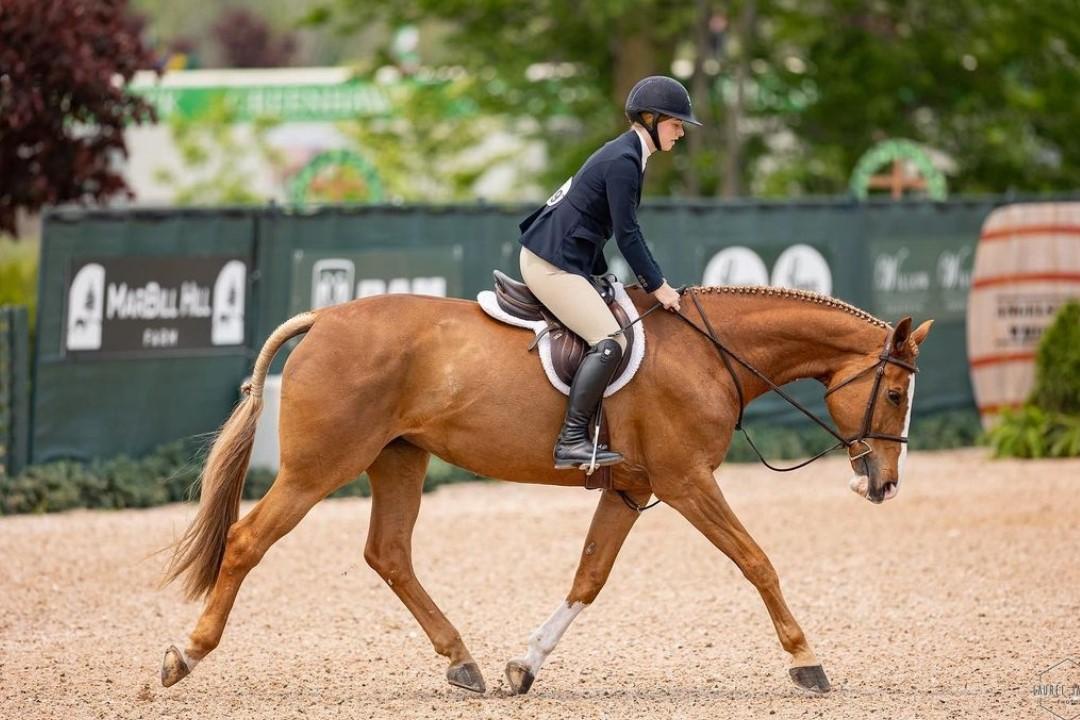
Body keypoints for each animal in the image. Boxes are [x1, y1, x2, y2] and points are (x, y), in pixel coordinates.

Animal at [159, 284, 932, 696]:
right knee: (247, 541)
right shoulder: (686, 481)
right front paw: (807, 662)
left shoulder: (631, 488)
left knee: (389, 555)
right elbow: (757, 562)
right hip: (319, 467)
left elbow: (589, 575)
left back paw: (463, 661)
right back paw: (184, 655)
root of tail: (323, 317)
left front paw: (522, 666)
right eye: (895, 394)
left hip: (399, 459)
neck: (710, 353)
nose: (885, 485)